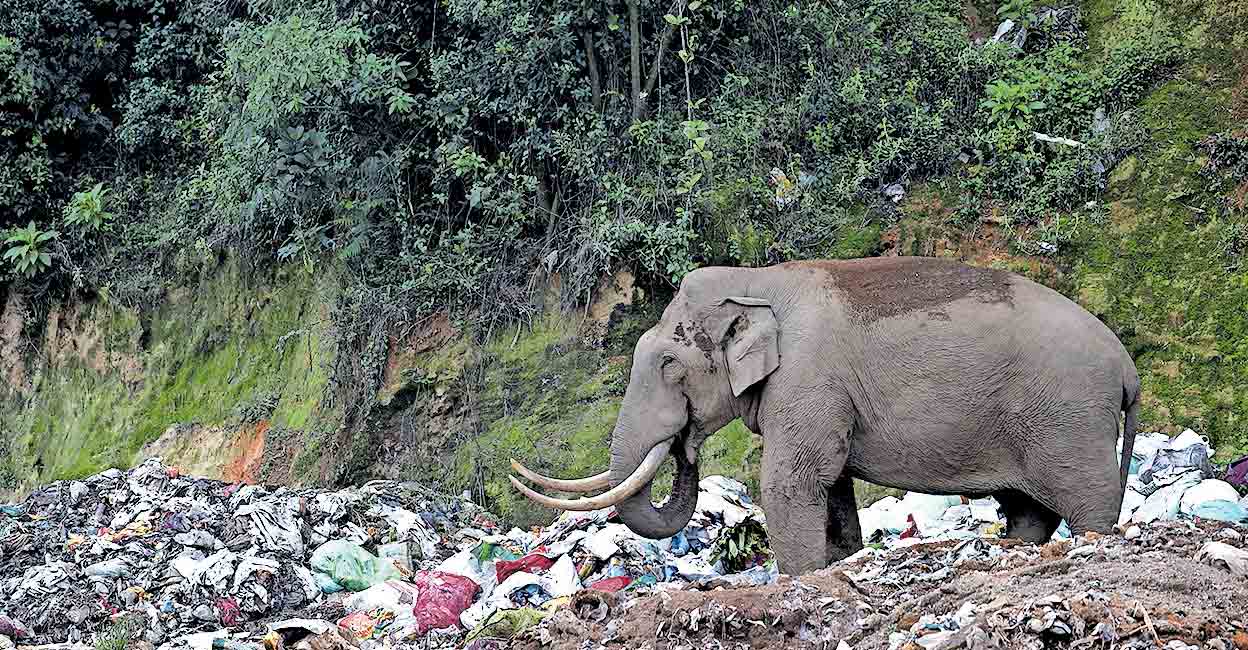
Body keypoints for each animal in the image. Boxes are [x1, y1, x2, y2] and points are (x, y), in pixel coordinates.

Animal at [510, 256, 1141, 576]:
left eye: (669, 363)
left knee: (1087, 501)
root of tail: (1127, 366)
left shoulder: (807, 376)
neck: (757, 281)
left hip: (1068, 416)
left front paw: (803, 574)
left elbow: (792, 480)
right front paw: (841, 556)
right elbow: (830, 477)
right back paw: (1016, 550)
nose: (685, 442)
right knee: (1029, 508)